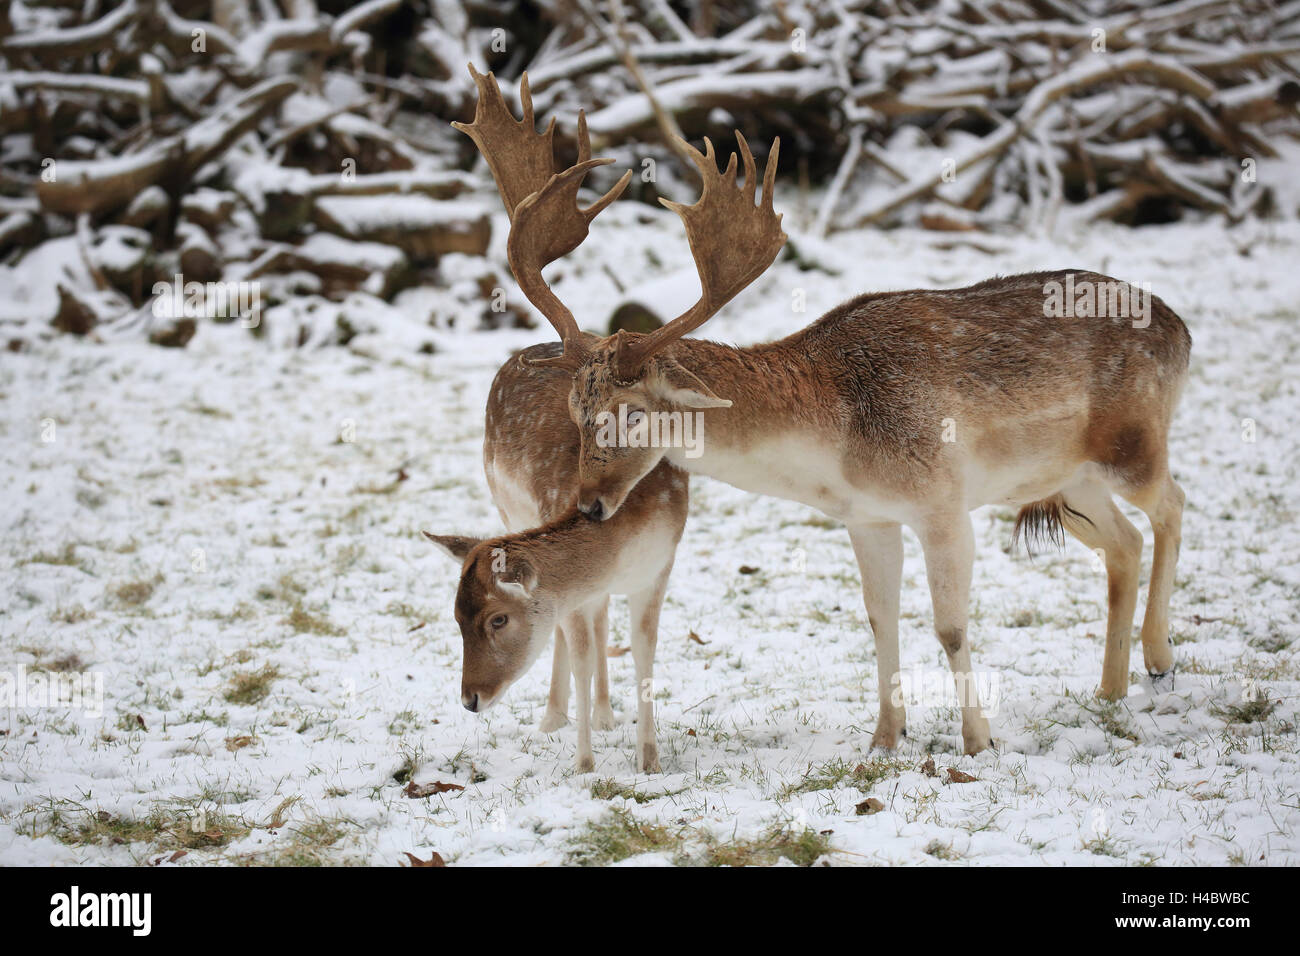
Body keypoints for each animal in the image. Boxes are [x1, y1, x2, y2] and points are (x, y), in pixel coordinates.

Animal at [427, 75, 688, 772]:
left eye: (496, 620)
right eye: (452, 619)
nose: (470, 700)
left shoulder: (657, 570)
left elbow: (644, 654)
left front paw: (649, 759)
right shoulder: (569, 578)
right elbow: (580, 637)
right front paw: (584, 762)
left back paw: (601, 710)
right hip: (506, 505)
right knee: (583, 636)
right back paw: (556, 717)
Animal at [453, 65, 1191, 756]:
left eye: (633, 412)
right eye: (575, 407)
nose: (589, 505)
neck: (838, 441)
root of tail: (1180, 329)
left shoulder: (943, 502)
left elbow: (950, 626)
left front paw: (978, 742)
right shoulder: (867, 519)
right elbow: (879, 620)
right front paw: (885, 739)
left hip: (1133, 442)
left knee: (1172, 503)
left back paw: (1160, 658)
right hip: (1068, 480)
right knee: (1123, 543)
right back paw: (1111, 687)